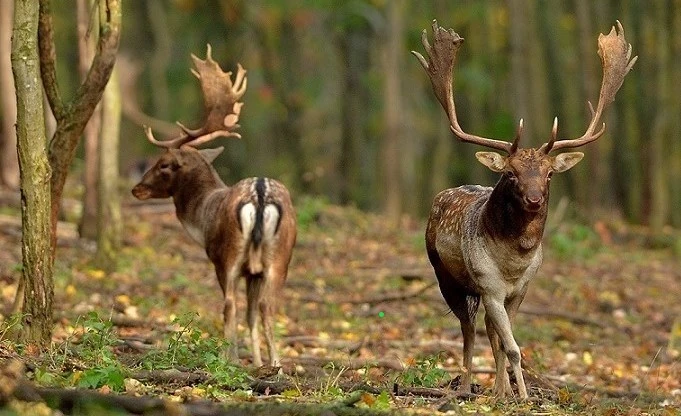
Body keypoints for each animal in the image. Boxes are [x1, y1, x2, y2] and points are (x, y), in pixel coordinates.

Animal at [131, 45, 297, 368]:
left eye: (164, 164)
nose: (137, 188)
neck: (201, 218)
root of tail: (260, 193)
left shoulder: (220, 259)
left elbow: (232, 308)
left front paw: (232, 359)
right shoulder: (254, 272)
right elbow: (252, 313)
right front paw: (258, 363)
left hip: (231, 254)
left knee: (230, 304)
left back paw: (229, 358)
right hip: (280, 257)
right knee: (268, 306)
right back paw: (277, 366)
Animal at [413, 21, 636, 399]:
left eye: (548, 174)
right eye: (511, 173)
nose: (534, 199)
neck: (513, 263)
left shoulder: (521, 290)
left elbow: (505, 342)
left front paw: (508, 392)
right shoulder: (489, 285)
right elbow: (512, 346)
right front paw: (525, 396)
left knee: (488, 331)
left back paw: (496, 389)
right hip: (446, 276)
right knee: (468, 329)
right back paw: (466, 386)